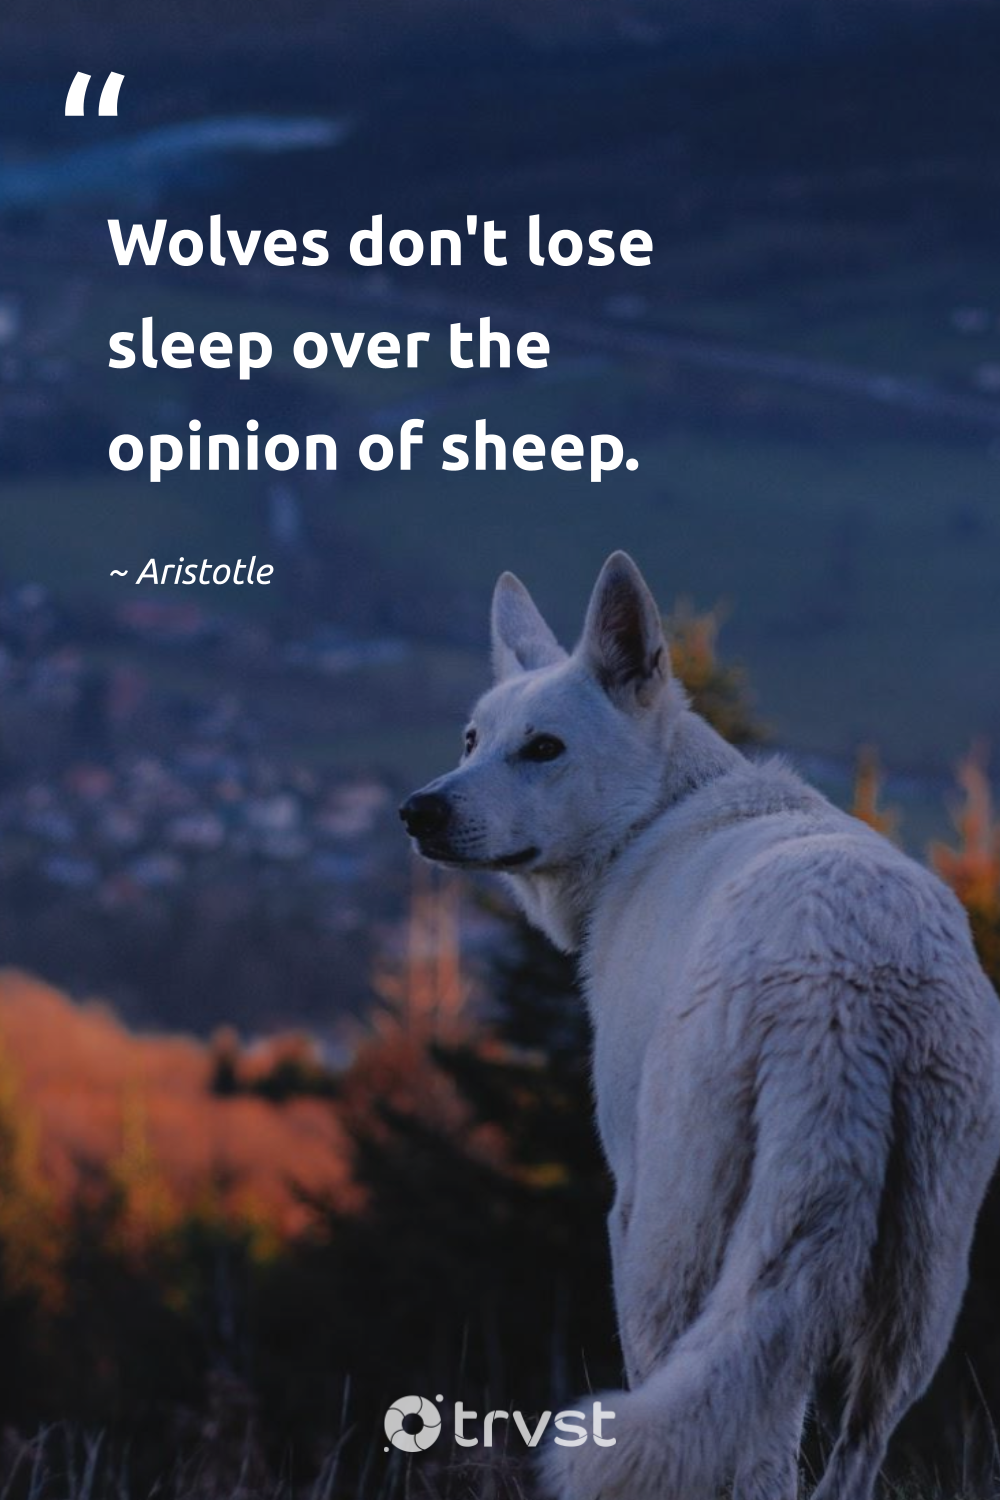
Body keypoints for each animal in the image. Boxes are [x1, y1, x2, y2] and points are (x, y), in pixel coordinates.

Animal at [400, 551, 1000, 1500]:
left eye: (543, 748)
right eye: (471, 741)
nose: (418, 812)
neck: (657, 814)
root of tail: (856, 984)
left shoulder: (630, 1199)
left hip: (677, 1231)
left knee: (728, 1423)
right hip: (922, 1274)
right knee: (851, 1442)